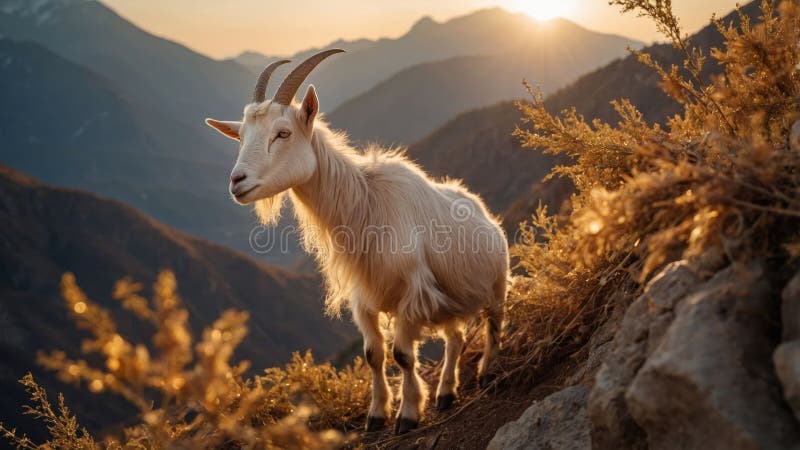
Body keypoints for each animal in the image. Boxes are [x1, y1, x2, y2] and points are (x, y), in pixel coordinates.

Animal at [206, 50, 508, 435]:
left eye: (283, 133)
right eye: (241, 136)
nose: (237, 182)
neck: (366, 204)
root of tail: (484, 214)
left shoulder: (412, 294)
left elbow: (403, 355)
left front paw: (408, 414)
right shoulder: (363, 298)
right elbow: (373, 355)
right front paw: (376, 415)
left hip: (496, 284)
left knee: (494, 324)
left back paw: (486, 373)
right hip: (450, 301)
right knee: (455, 338)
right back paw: (445, 394)